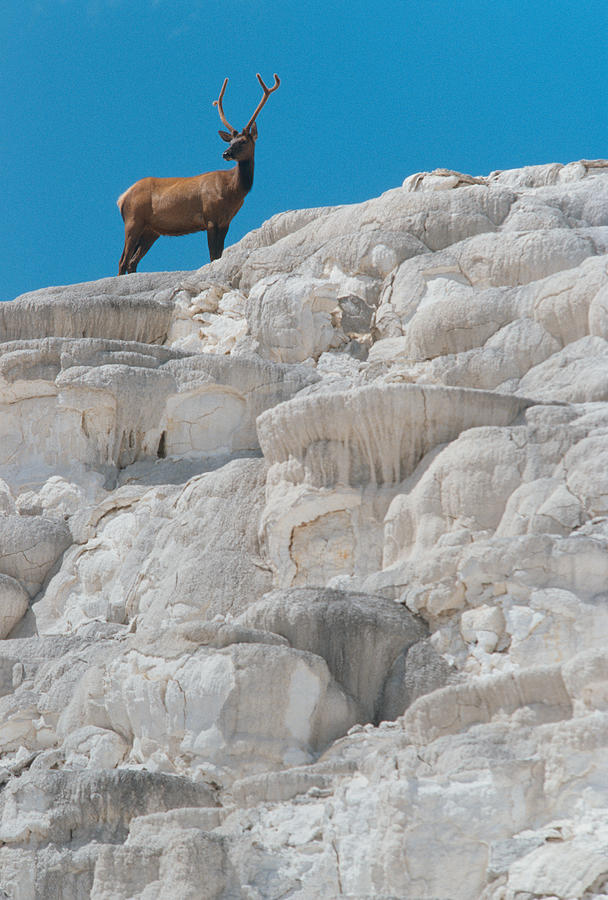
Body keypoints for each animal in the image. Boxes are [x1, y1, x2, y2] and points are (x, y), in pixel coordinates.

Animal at [117, 73, 280, 275]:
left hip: (151, 230)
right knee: (123, 260)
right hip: (133, 219)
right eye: (230, 141)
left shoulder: (225, 221)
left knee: (132, 262)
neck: (232, 191)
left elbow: (218, 254)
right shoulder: (209, 216)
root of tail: (121, 198)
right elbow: (213, 256)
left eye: (243, 141)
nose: (226, 153)